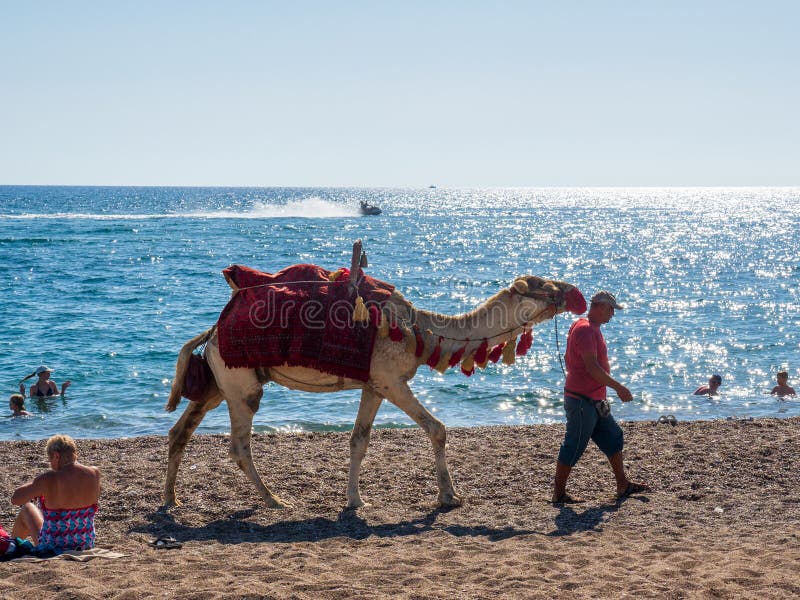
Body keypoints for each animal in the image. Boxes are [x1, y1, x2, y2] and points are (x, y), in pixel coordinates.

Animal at [163, 268, 585, 510]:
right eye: (545, 287)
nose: (577, 293)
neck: (423, 331)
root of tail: (213, 332)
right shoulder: (391, 380)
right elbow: (438, 429)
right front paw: (449, 496)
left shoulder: (374, 386)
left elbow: (358, 440)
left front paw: (354, 500)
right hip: (241, 386)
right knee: (239, 446)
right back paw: (275, 500)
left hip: (217, 385)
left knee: (179, 431)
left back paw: (171, 499)